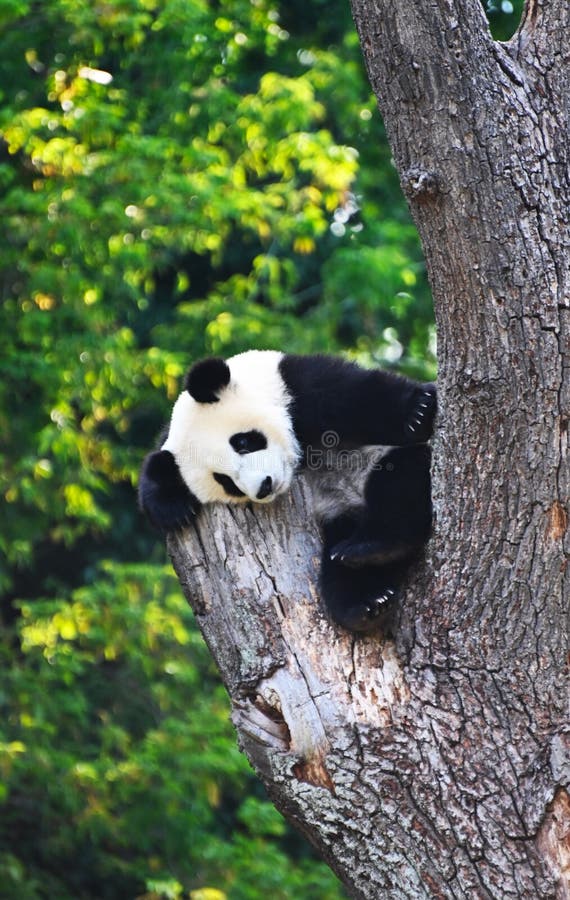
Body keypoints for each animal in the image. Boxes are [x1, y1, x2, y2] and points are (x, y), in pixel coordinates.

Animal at [139, 350, 436, 633]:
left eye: (242, 442)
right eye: (226, 482)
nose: (263, 486)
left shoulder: (296, 386)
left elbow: (360, 397)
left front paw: (419, 411)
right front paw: (173, 509)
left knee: (400, 481)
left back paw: (371, 547)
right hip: (339, 512)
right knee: (340, 563)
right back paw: (367, 603)